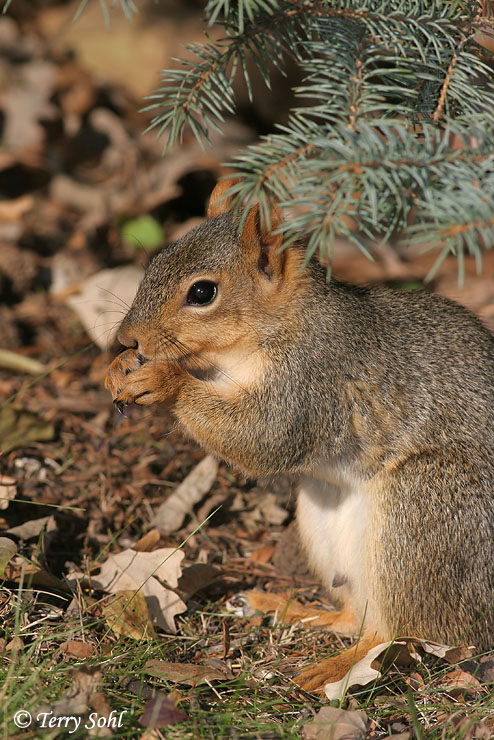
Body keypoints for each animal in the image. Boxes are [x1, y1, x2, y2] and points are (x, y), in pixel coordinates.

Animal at [105, 179, 494, 692]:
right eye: (157, 259)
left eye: (203, 292)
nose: (128, 339)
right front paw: (119, 369)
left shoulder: (313, 379)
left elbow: (263, 436)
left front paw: (165, 380)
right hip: (323, 520)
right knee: (356, 617)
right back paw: (291, 609)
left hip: (426, 511)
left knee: (401, 633)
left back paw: (333, 667)